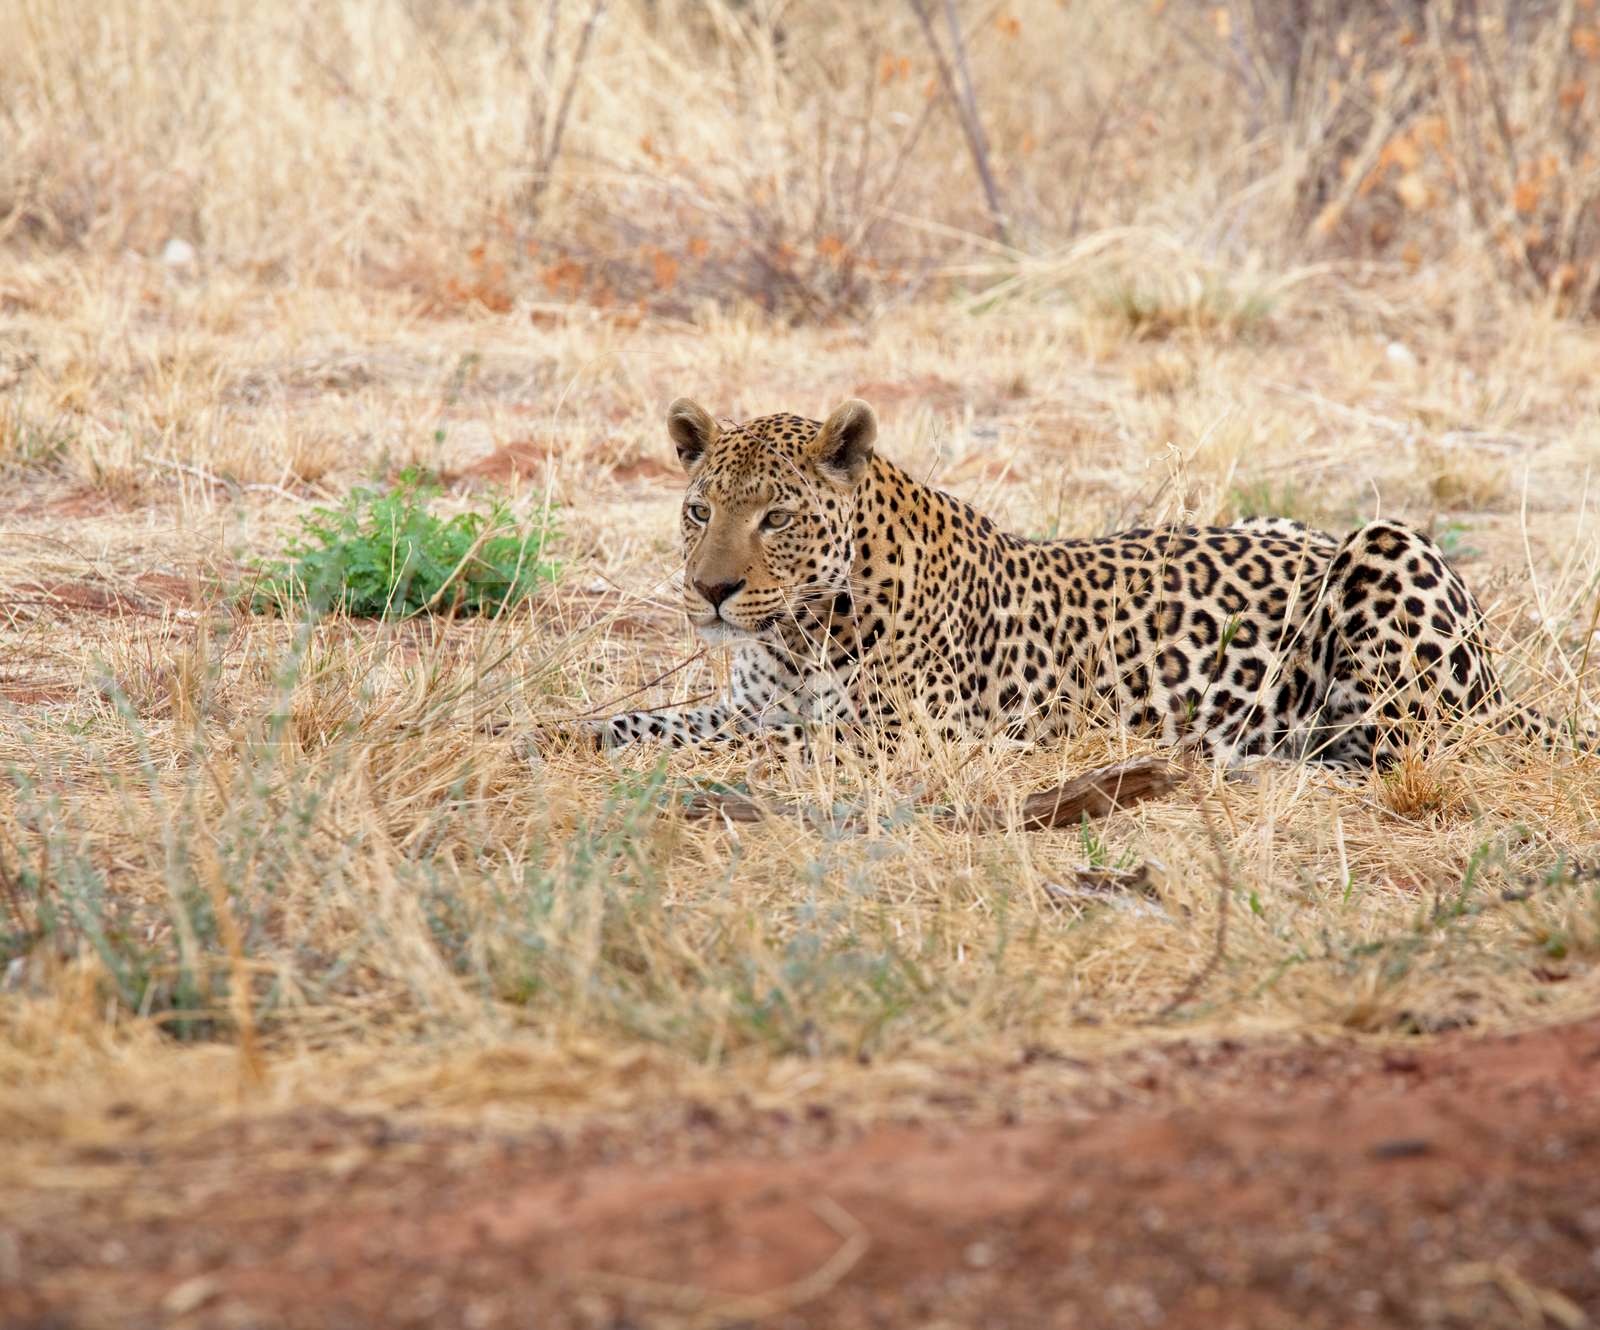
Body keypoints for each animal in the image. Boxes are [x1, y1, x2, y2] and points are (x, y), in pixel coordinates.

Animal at [588, 396, 1573, 769]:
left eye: (777, 520)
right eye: (698, 511)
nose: (710, 592)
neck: (795, 633)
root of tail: (1500, 684)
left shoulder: (900, 738)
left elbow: (759, 748)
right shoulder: (750, 704)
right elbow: (643, 723)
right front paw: (566, 737)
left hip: (1386, 547)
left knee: (1390, 748)